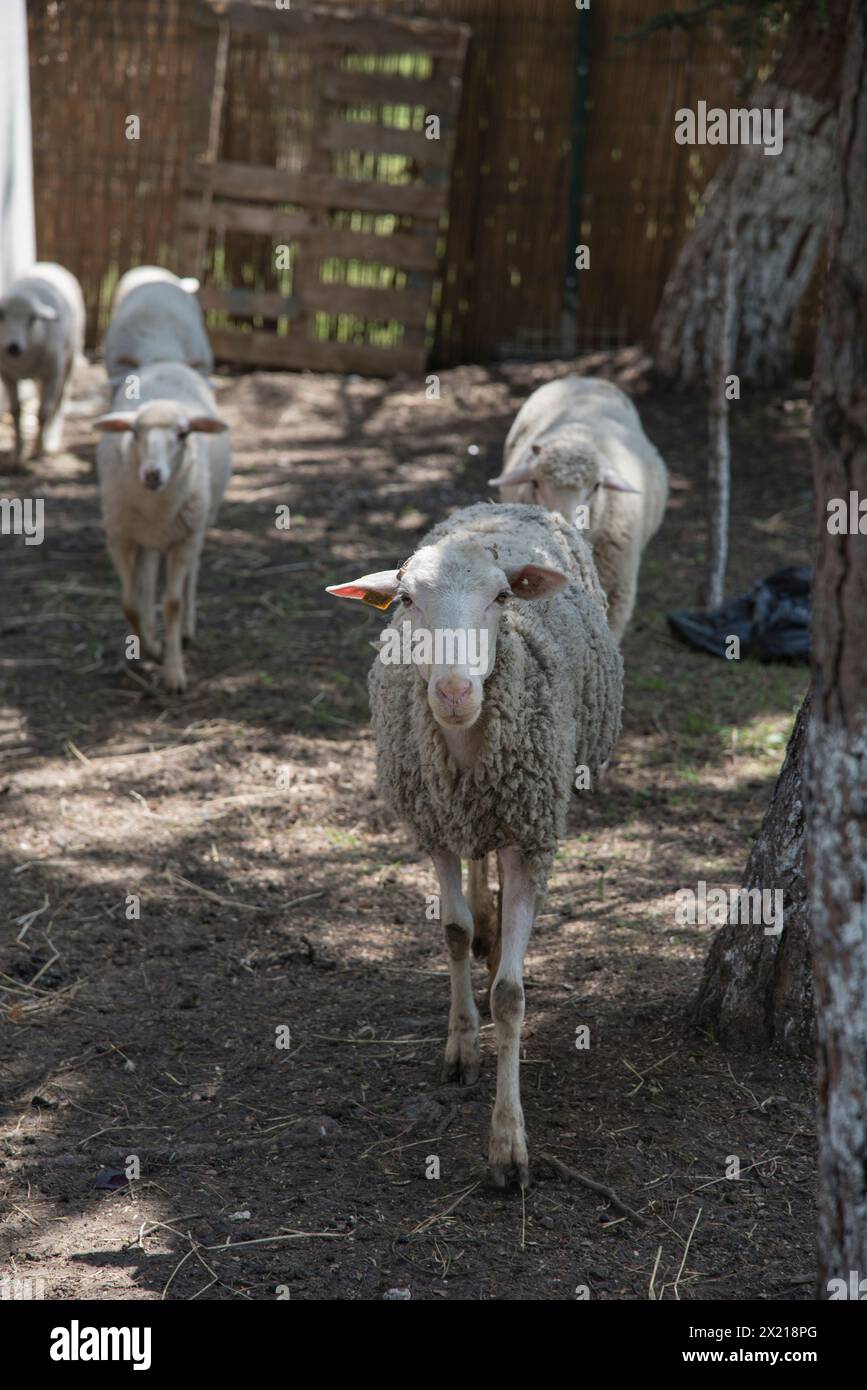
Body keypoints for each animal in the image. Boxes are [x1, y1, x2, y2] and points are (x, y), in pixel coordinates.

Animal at [0, 262, 85, 466]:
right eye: (1, 316)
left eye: (32, 319)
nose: (13, 347)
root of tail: (51, 264)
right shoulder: (7, 375)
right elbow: (16, 412)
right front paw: (17, 454)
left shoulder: (52, 374)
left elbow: (43, 412)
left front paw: (37, 450)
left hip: (69, 361)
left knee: (61, 399)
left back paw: (51, 440)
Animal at [95, 362, 230, 693]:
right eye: (134, 431)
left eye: (183, 433)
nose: (152, 474)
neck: (155, 506)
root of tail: (168, 362)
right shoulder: (119, 539)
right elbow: (129, 603)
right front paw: (153, 648)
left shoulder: (184, 540)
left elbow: (173, 603)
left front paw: (173, 671)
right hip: (147, 539)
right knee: (145, 581)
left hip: (198, 525)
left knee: (192, 574)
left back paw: (186, 629)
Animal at [327, 502, 623, 1188]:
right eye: (407, 599)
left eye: (501, 597)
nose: (456, 693)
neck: (465, 757)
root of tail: (500, 507)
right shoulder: (434, 826)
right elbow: (453, 932)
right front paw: (461, 1043)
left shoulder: (530, 836)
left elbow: (511, 996)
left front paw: (508, 1145)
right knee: (474, 873)